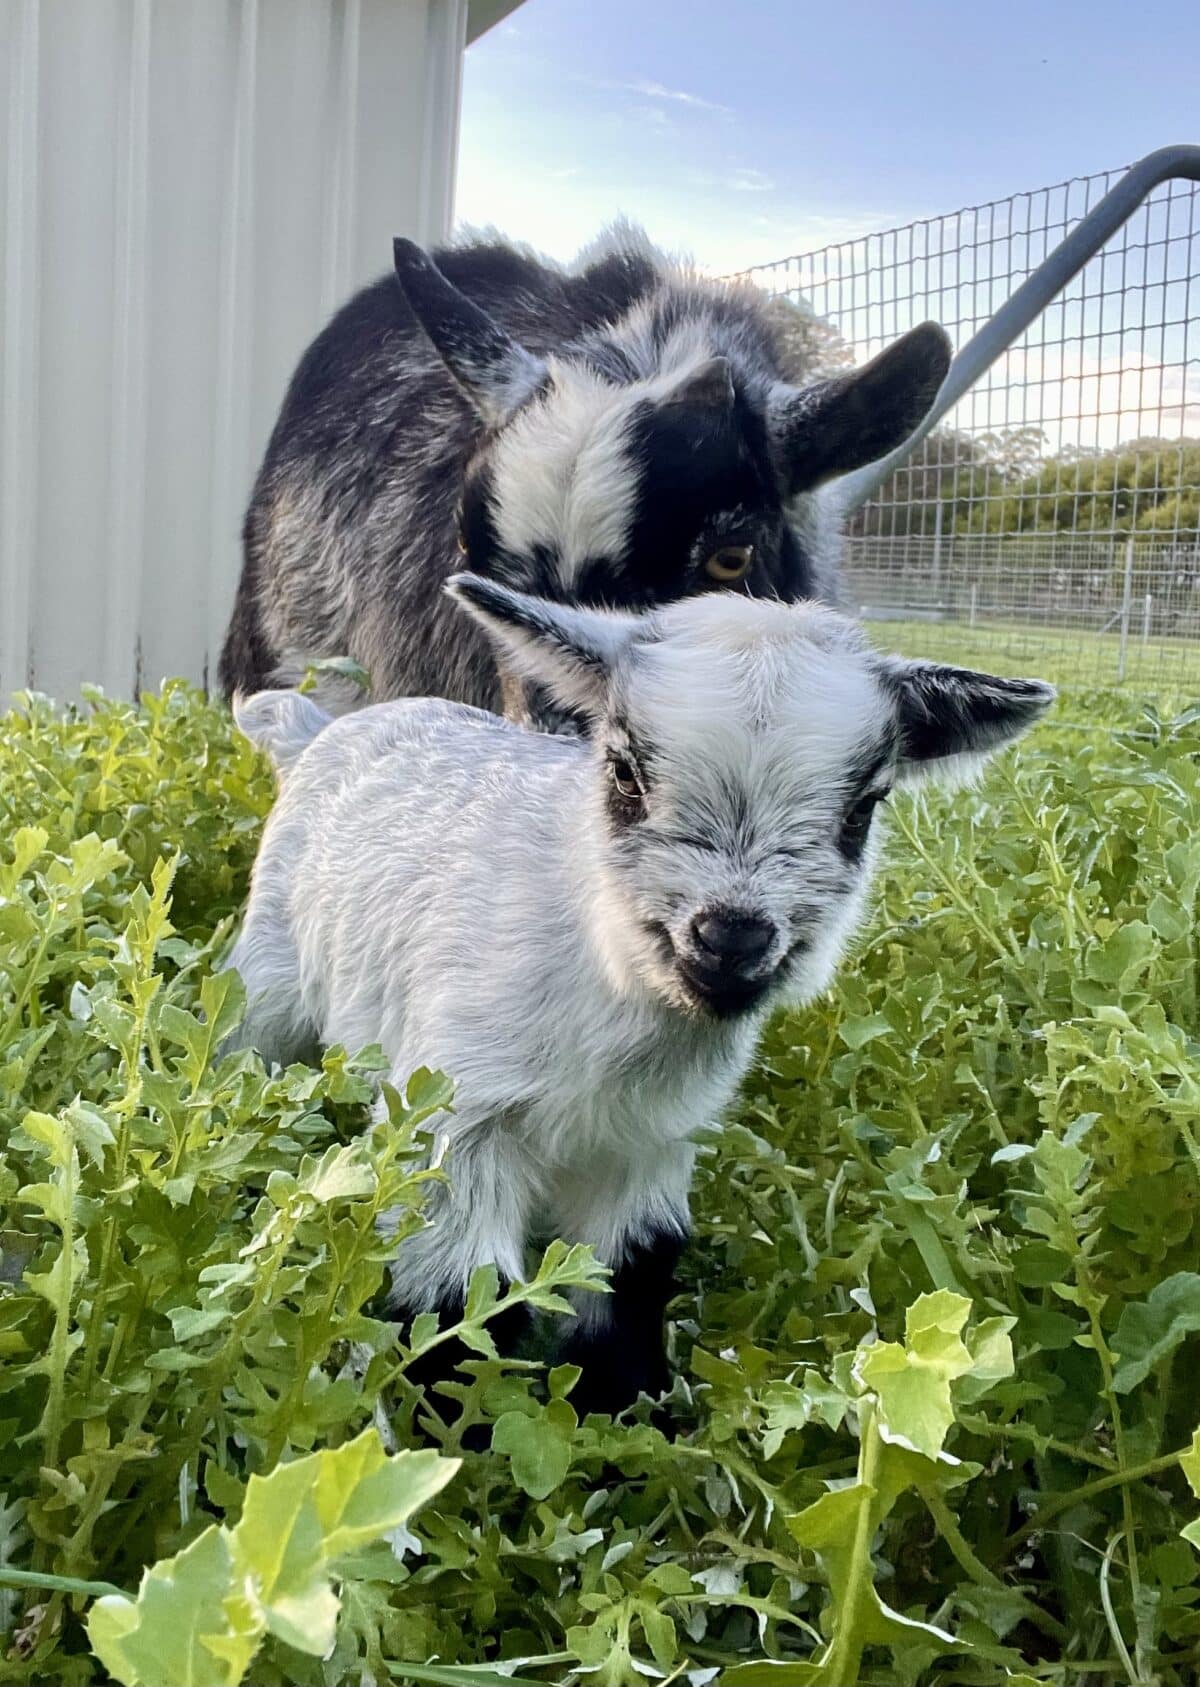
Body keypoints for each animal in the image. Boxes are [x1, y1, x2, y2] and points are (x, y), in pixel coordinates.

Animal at [225, 578, 1053, 1414]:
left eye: (863, 807)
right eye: (624, 773)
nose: (730, 938)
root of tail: (317, 731)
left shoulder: (653, 1141)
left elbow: (628, 1273)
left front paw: (627, 1412)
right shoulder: (456, 1113)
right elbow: (456, 1302)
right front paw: (455, 1428)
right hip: (267, 986)